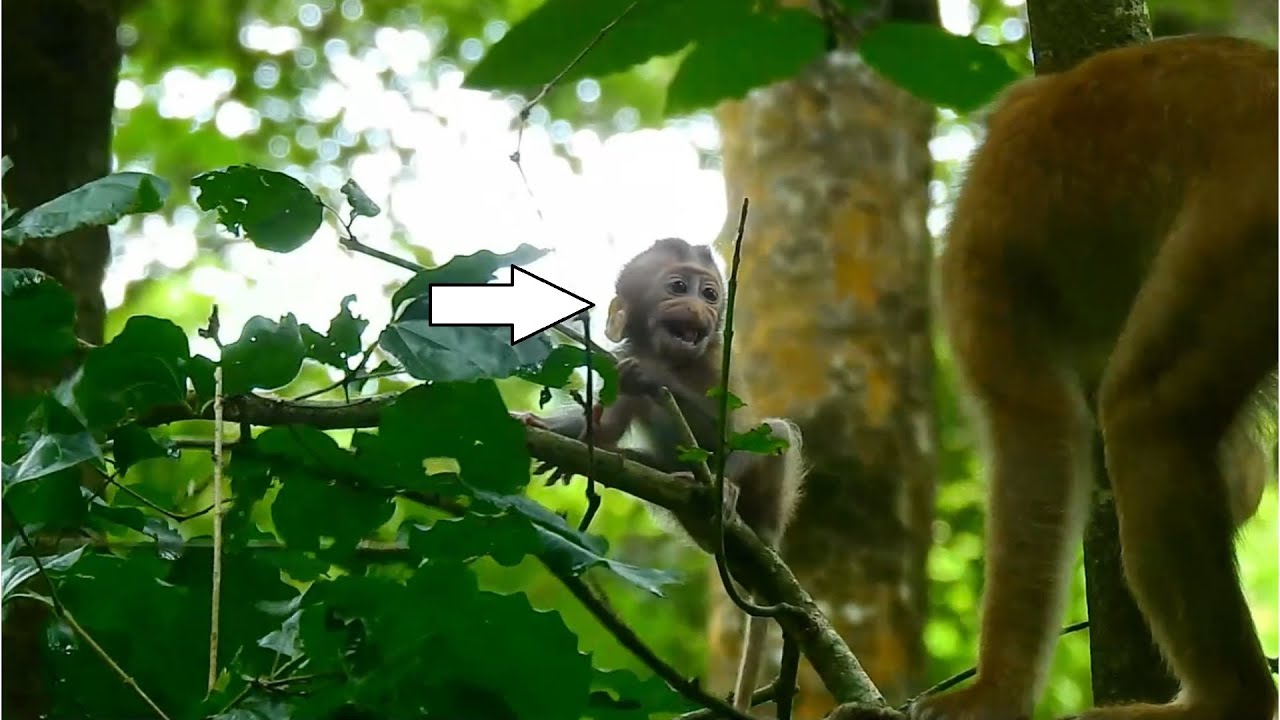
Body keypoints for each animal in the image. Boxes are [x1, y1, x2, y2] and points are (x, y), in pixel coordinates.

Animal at [513, 237, 808, 713]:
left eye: (710, 294)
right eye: (677, 287)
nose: (699, 307)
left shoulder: (719, 361)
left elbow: (737, 429)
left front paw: (652, 378)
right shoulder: (621, 357)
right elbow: (606, 426)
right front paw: (548, 427)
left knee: (776, 432)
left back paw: (727, 496)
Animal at [909, 36, 1277, 720]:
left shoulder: (977, 270)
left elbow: (1039, 436)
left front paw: (994, 691)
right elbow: (1242, 476)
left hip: (1250, 221)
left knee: (1145, 414)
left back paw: (1228, 698)